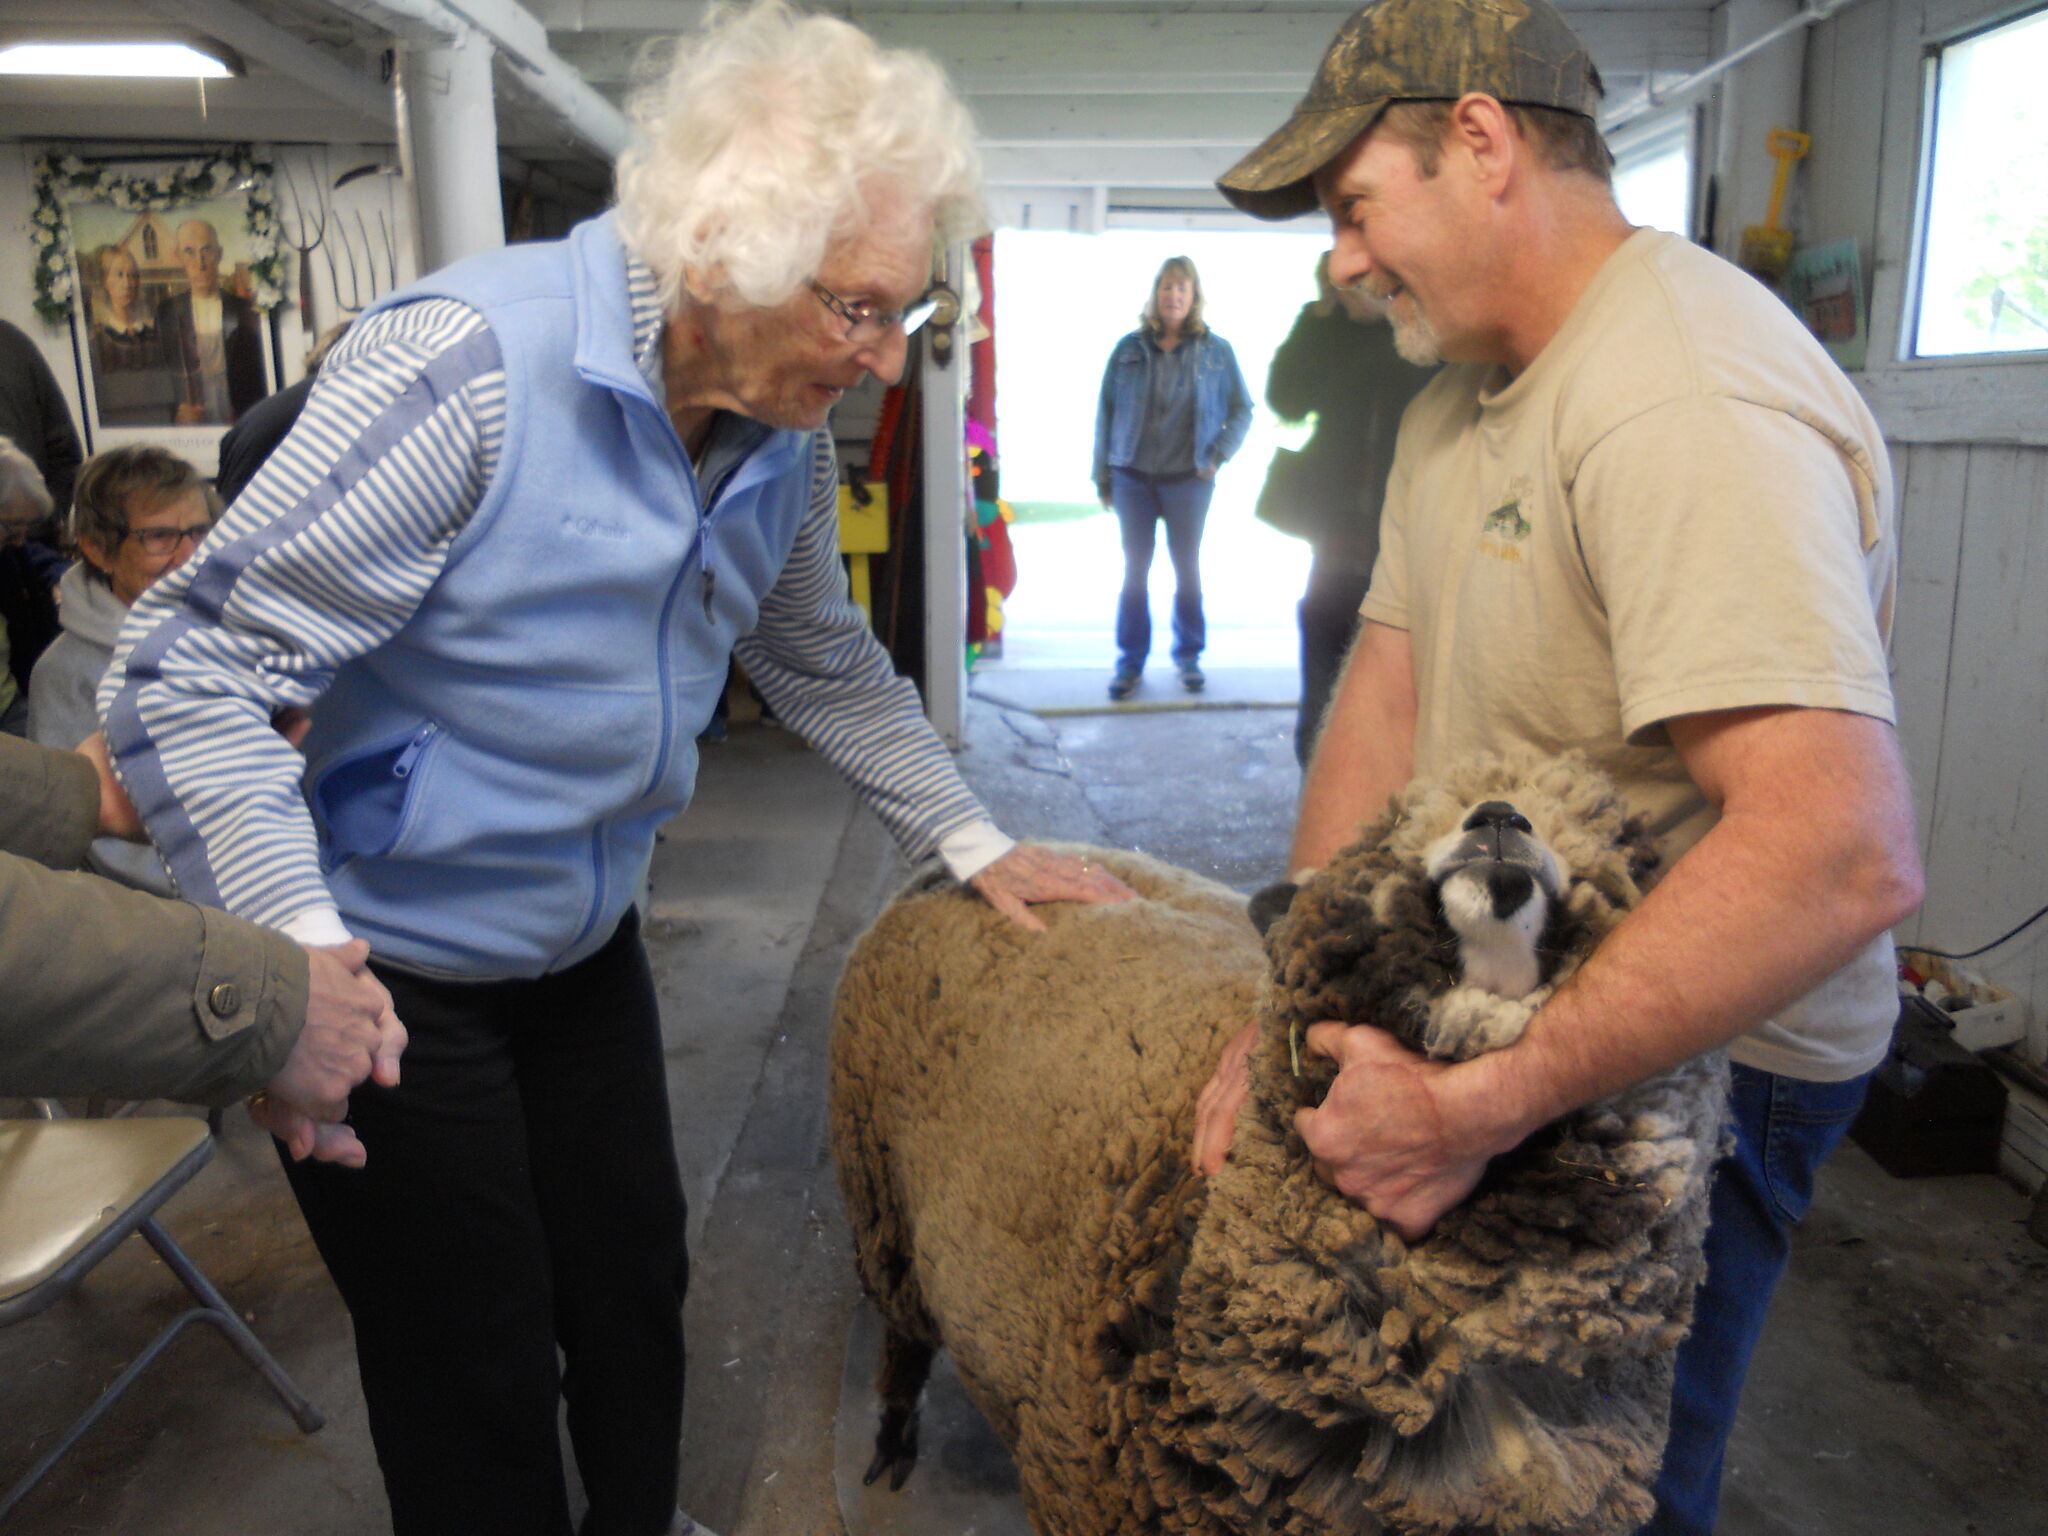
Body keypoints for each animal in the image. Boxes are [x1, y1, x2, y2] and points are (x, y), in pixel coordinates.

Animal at [828, 750, 1731, 1536]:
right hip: (879, 1201)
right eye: (1391, 826)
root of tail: (992, 860)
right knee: (902, 1336)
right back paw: (889, 1444)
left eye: (1627, 850)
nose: (1501, 820)